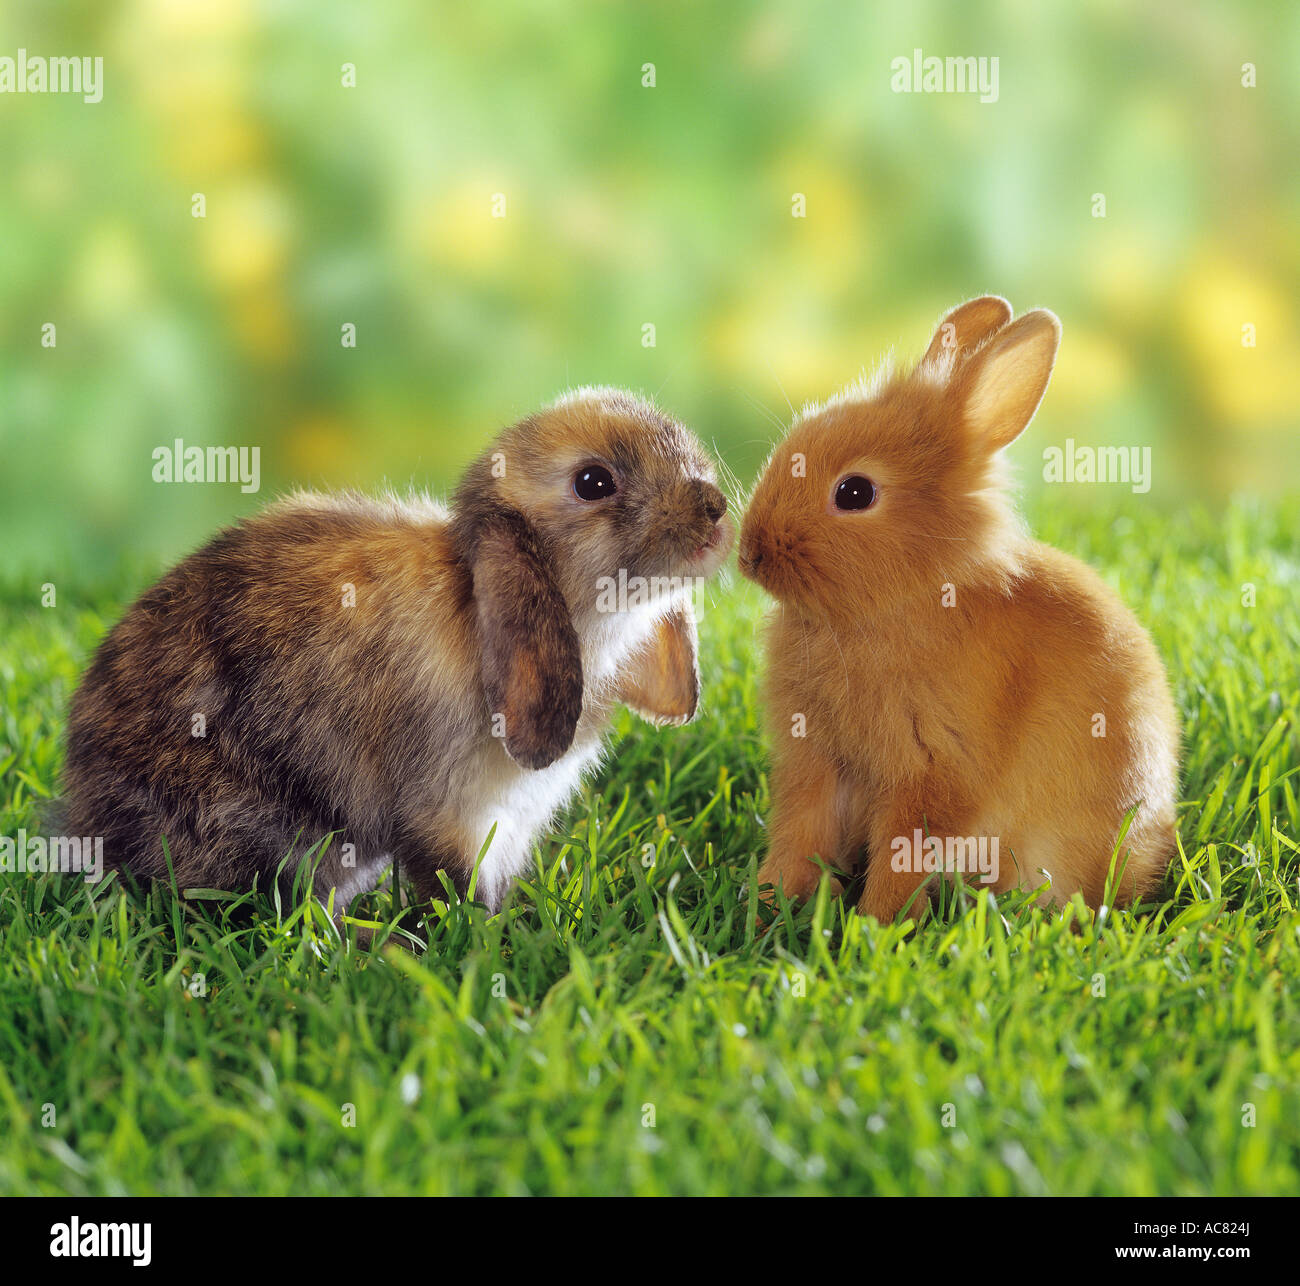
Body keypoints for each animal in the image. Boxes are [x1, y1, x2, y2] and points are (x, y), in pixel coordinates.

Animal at [739, 297, 1180, 921]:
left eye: (855, 493)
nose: (750, 551)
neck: (906, 599)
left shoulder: (936, 771)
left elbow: (902, 854)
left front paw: (875, 926)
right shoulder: (817, 764)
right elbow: (802, 834)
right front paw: (767, 905)